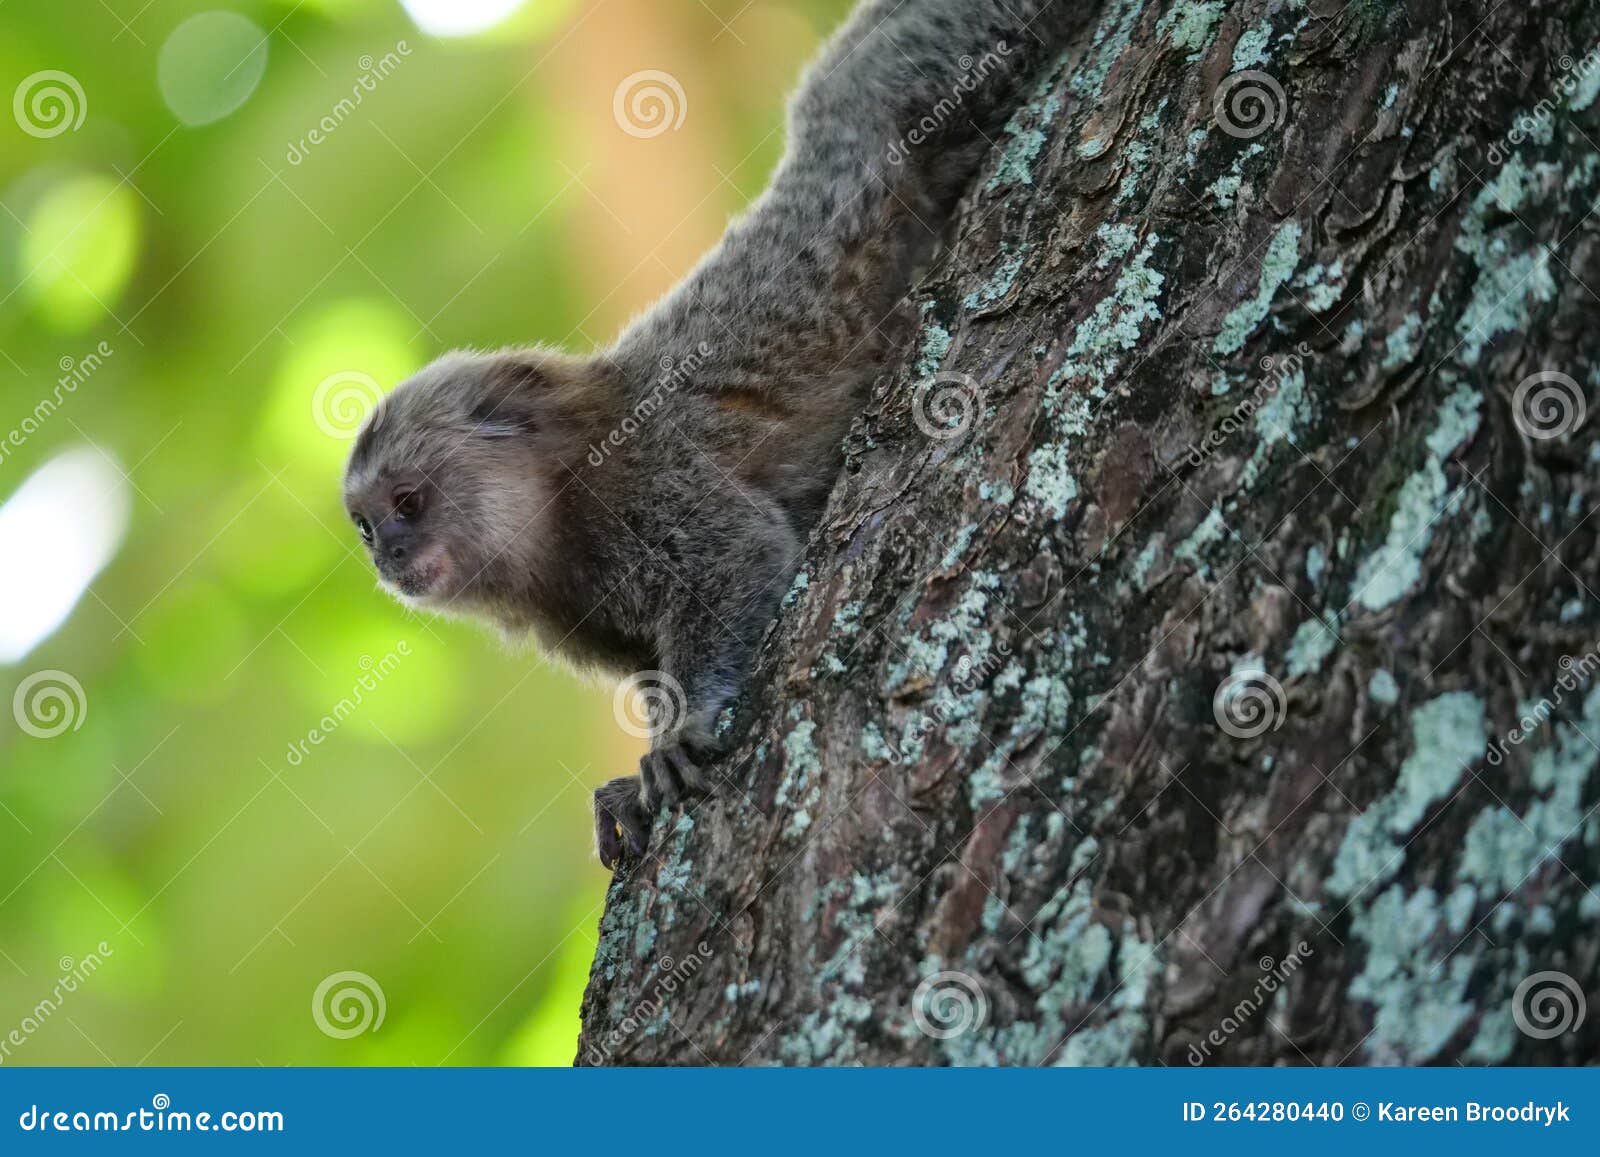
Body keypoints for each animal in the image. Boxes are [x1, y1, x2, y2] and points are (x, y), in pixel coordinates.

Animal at [342, 0, 1080, 868]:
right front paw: (625, 790)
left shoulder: (643, 476)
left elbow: (737, 554)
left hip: (920, 69)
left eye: (409, 502)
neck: (560, 509)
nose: (389, 555)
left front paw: (682, 731)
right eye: (367, 526)